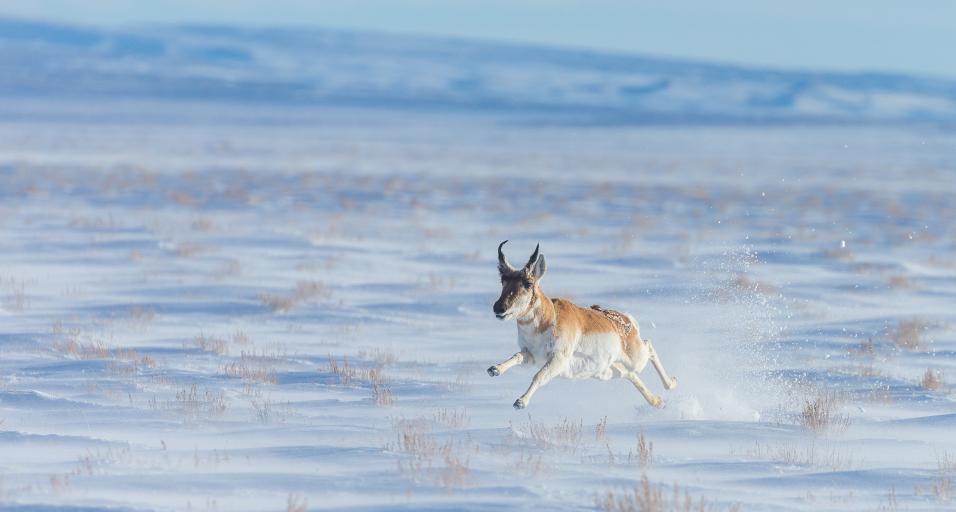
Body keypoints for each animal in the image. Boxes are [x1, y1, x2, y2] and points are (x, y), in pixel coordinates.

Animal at [488, 241, 678, 410]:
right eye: (503, 280)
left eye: (528, 283)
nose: (498, 308)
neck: (550, 318)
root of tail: (625, 319)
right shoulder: (531, 355)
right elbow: (516, 357)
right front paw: (494, 369)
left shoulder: (558, 359)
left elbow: (539, 376)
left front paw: (520, 402)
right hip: (607, 371)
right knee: (630, 374)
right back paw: (657, 401)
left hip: (635, 359)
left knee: (649, 345)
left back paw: (672, 384)